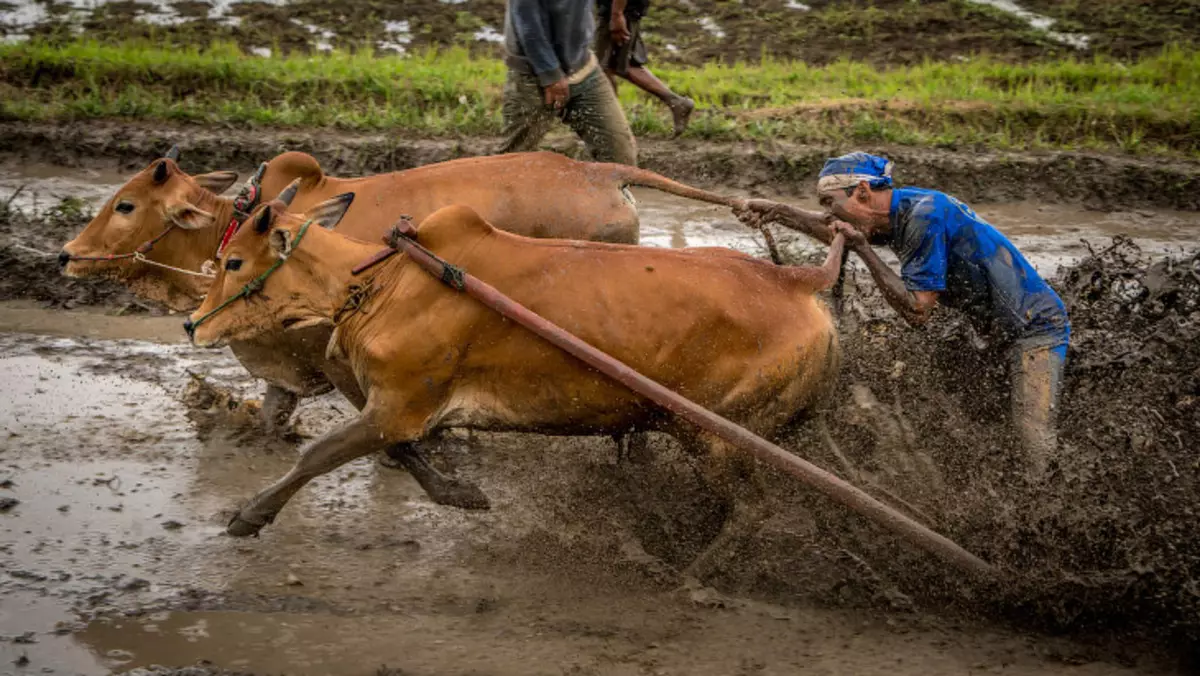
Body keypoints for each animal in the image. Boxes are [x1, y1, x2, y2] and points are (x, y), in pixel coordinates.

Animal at [184, 195, 844, 581]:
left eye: (235, 262)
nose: (192, 323)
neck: (379, 281)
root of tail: (795, 280)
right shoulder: (395, 410)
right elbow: (406, 455)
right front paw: (463, 493)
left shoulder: (399, 405)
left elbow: (316, 456)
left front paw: (248, 516)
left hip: (713, 435)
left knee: (754, 510)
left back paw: (691, 577)